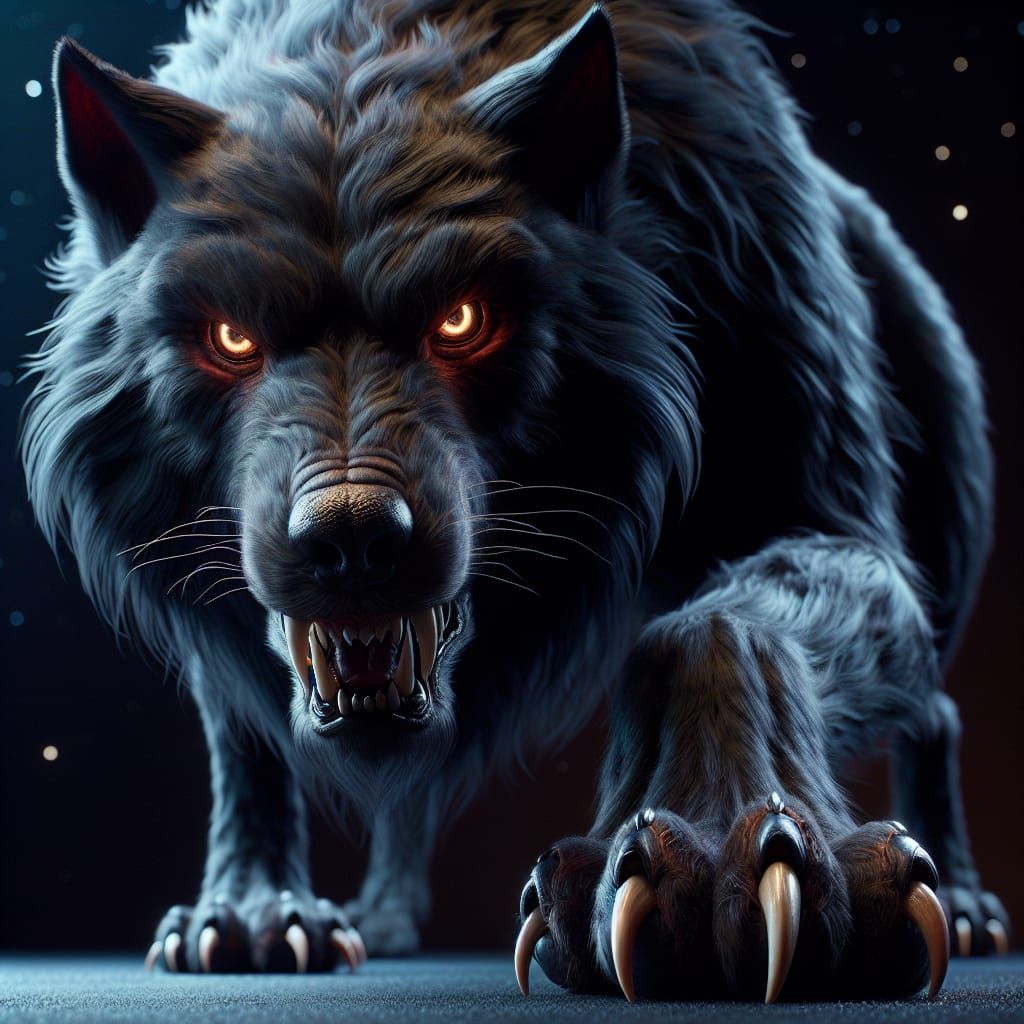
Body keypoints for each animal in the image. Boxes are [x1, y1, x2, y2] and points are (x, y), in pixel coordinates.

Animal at [21, 0, 1009, 1001]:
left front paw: (718, 860)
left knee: (934, 707)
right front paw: (252, 915)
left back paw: (963, 907)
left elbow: (715, 629)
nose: (351, 534)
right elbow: (248, 732)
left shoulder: (828, 513)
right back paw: (382, 919)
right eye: (230, 339)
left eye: (463, 320)